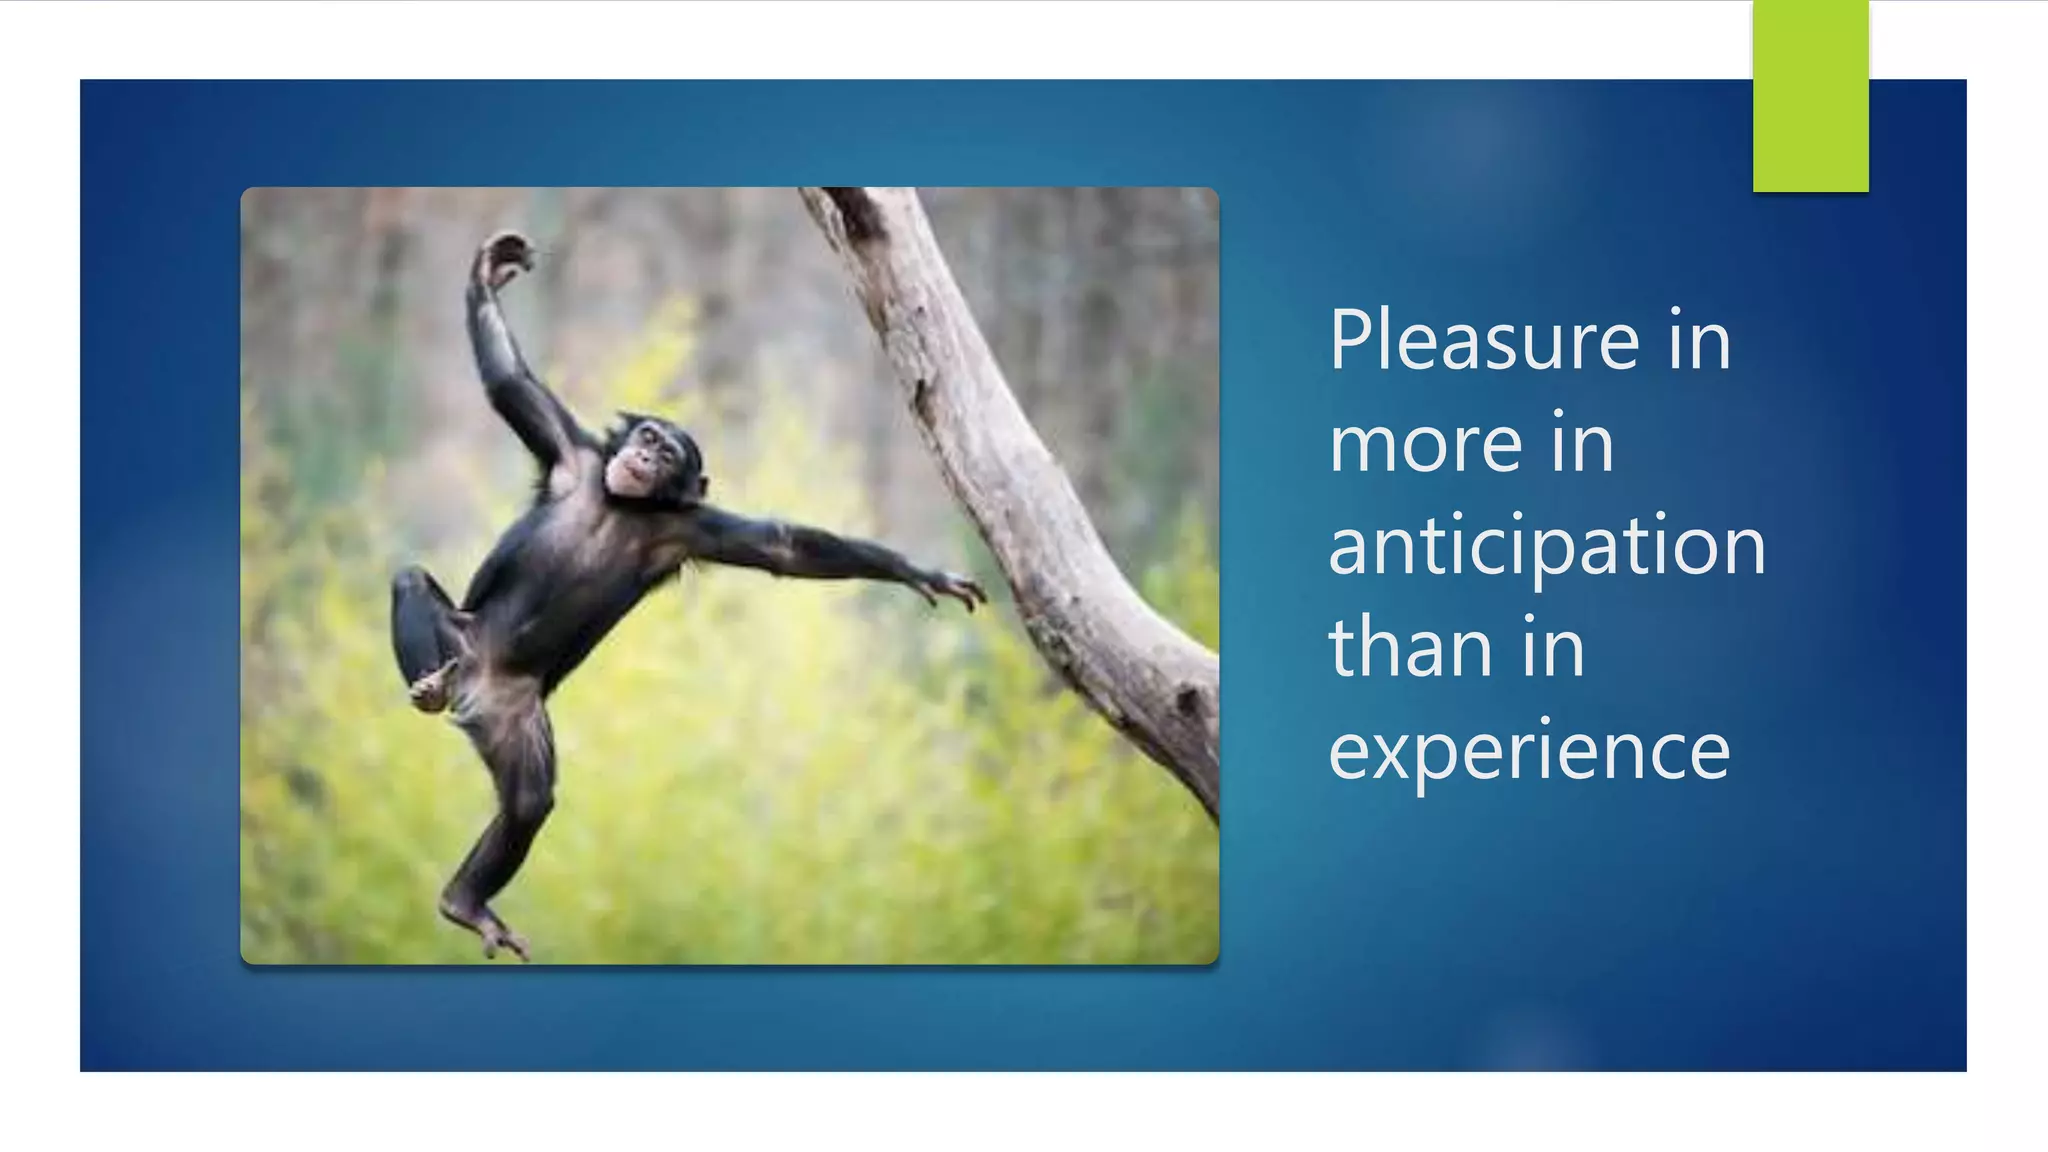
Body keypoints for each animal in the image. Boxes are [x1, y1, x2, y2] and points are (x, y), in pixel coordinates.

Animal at [389, 232, 986, 961]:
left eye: (668, 455)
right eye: (647, 437)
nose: (646, 456)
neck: (621, 502)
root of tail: (474, 693)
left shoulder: (692, 529)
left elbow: (784, 546)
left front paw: (916, 571)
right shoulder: (568, 451)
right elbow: (508, 383)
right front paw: (489, 271)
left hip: (514, 715)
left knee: (529, 802)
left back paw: (464, 900)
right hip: (462, 647)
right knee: (410, 582)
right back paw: (428, 691)